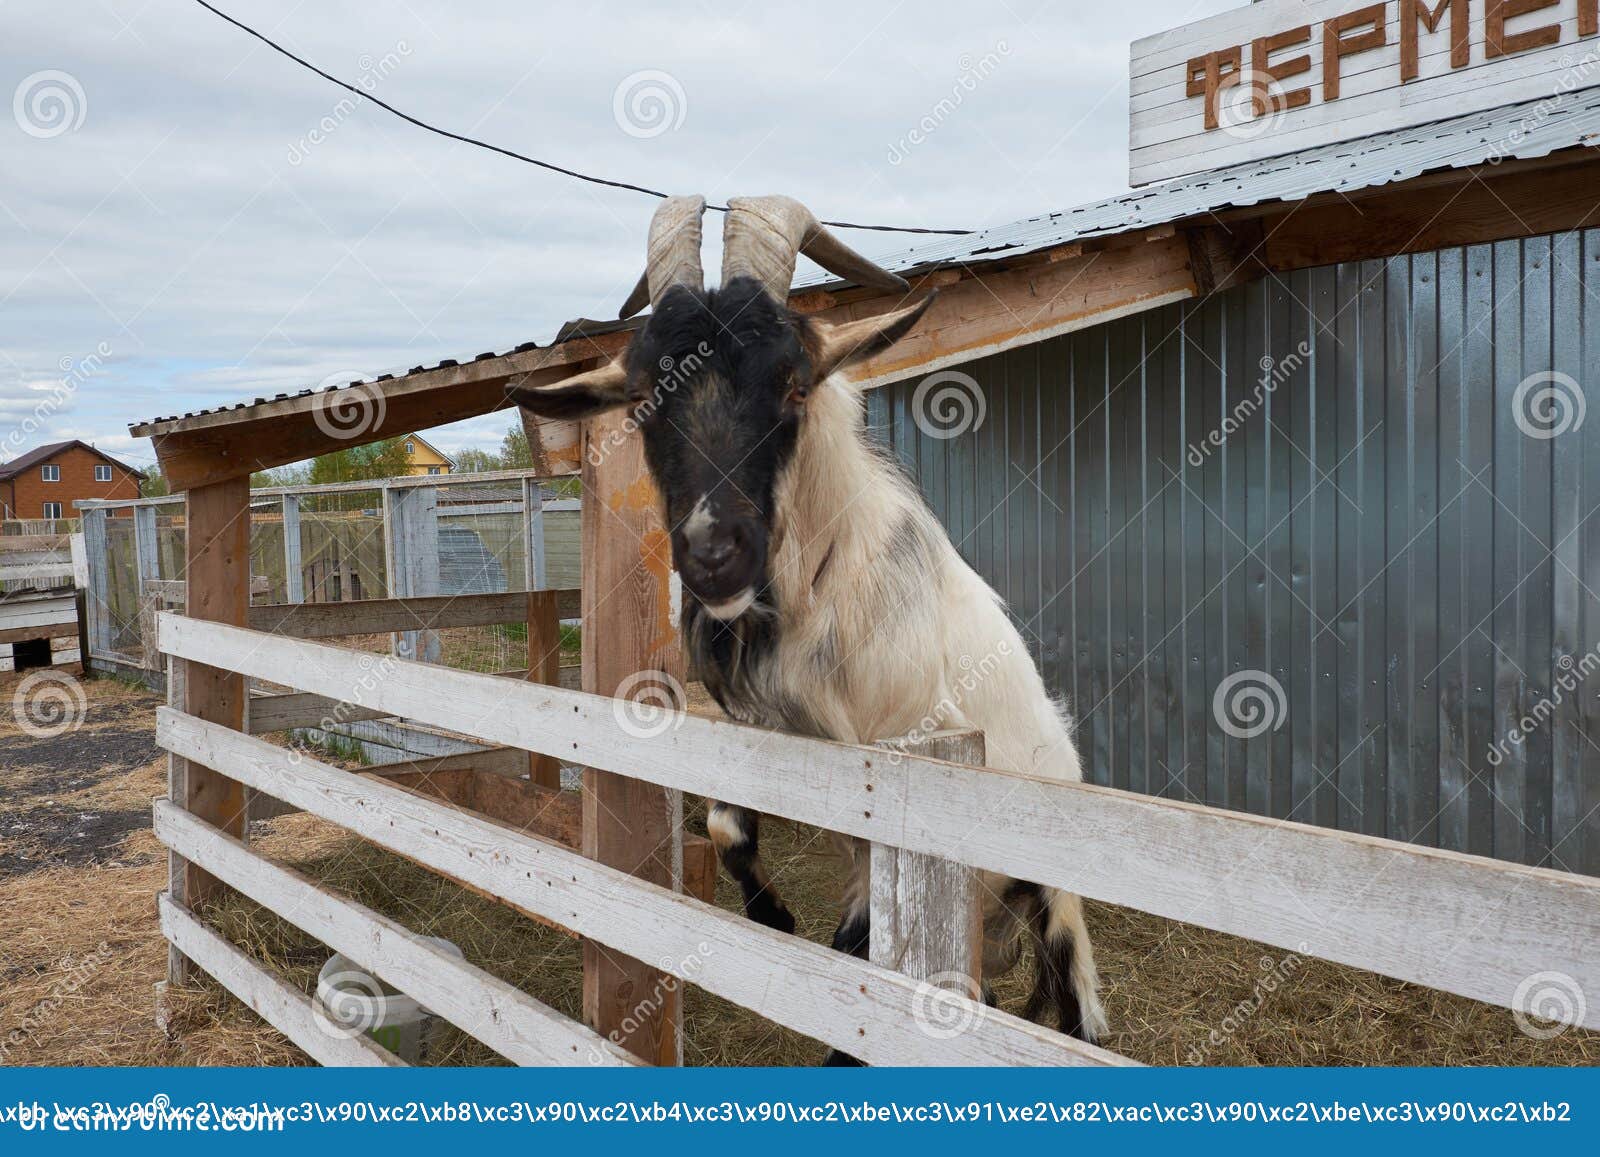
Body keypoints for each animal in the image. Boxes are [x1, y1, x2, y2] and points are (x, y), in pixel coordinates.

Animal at [511, 196, 1105, 1060]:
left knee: (1074, 1009)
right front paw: (774, 914)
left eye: (794, 385)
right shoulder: (759, 732)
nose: (713, 553)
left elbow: (858, 935)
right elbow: (725, 825)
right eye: (645, 399)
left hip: (1051, 901)